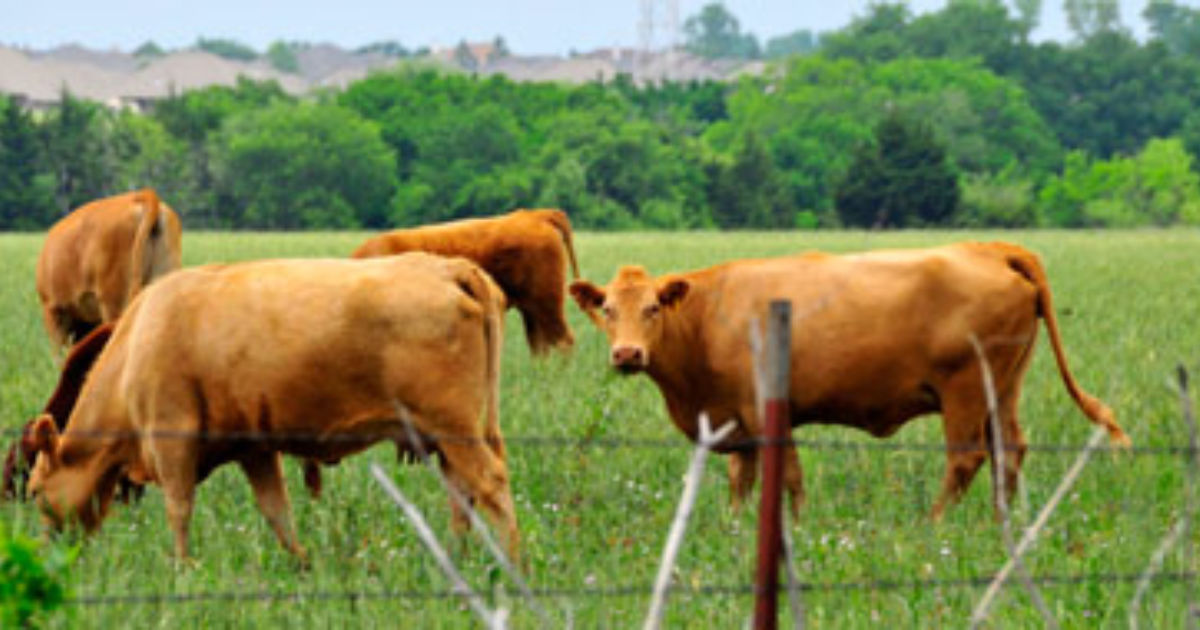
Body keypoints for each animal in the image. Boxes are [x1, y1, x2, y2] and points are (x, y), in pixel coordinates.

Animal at [26, 253, 518, 563]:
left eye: (32, 491)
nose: (50, 553)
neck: (137, 347)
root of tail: (448, 266)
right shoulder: (254, 448)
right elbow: (276, 511)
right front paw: (301, 565)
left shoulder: (172, 442)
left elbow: (179, 510)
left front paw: (181, 569)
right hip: (447, 437)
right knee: (462, 494)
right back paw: (456, 559)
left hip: (454, 426)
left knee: (490, 482)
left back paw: (515, 565)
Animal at [569, 241, 1131, 519]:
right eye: (607, 309)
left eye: (652, 308)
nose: (627, 353)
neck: (709, 318)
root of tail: (991, 247)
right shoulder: (736, 421)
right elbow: (741, 480)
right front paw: (733, 527)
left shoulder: (766, 410)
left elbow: (788, 476)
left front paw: (796, 528)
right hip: (1004, 388)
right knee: (1009, 451)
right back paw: (1001, 522)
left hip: (966, 389)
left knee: (966, 458)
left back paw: (935, 525)